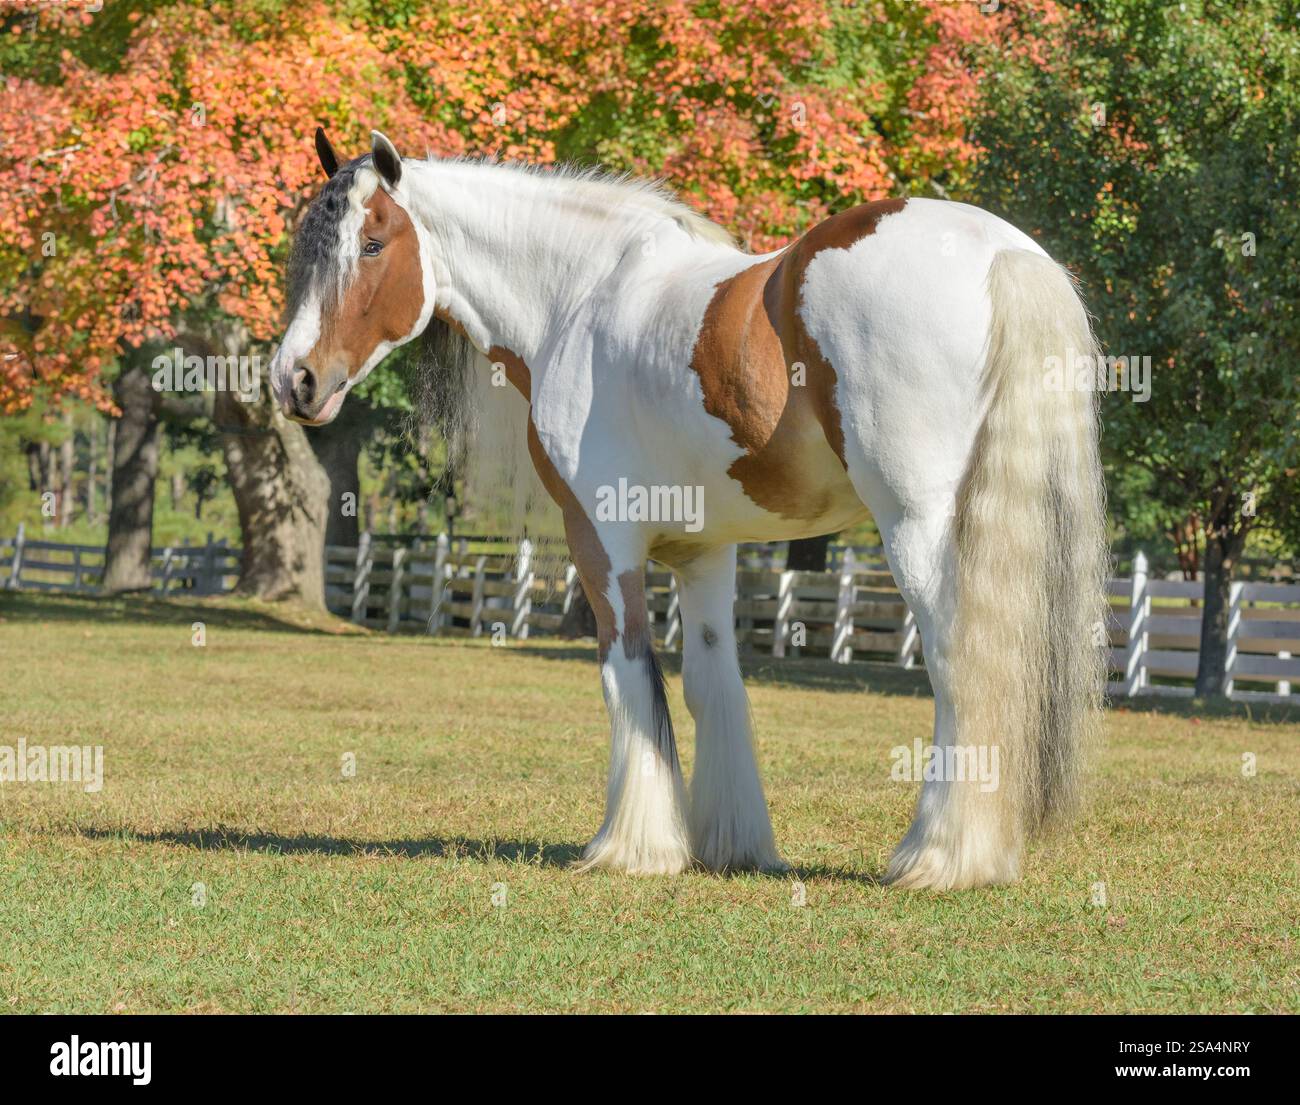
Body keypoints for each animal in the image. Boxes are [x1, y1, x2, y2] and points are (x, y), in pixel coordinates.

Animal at [269, 128, 1107, 890]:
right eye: (306, 247)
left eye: (372, 243)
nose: (293, 380)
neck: (575, 296)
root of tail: (1001, 254)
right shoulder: (705, 552)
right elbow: (713, 686)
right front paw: (731, 844)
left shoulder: (601, 541)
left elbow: (630, 676)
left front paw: (633, 847)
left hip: (916, 528)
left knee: (961, 662)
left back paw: (939, 856)